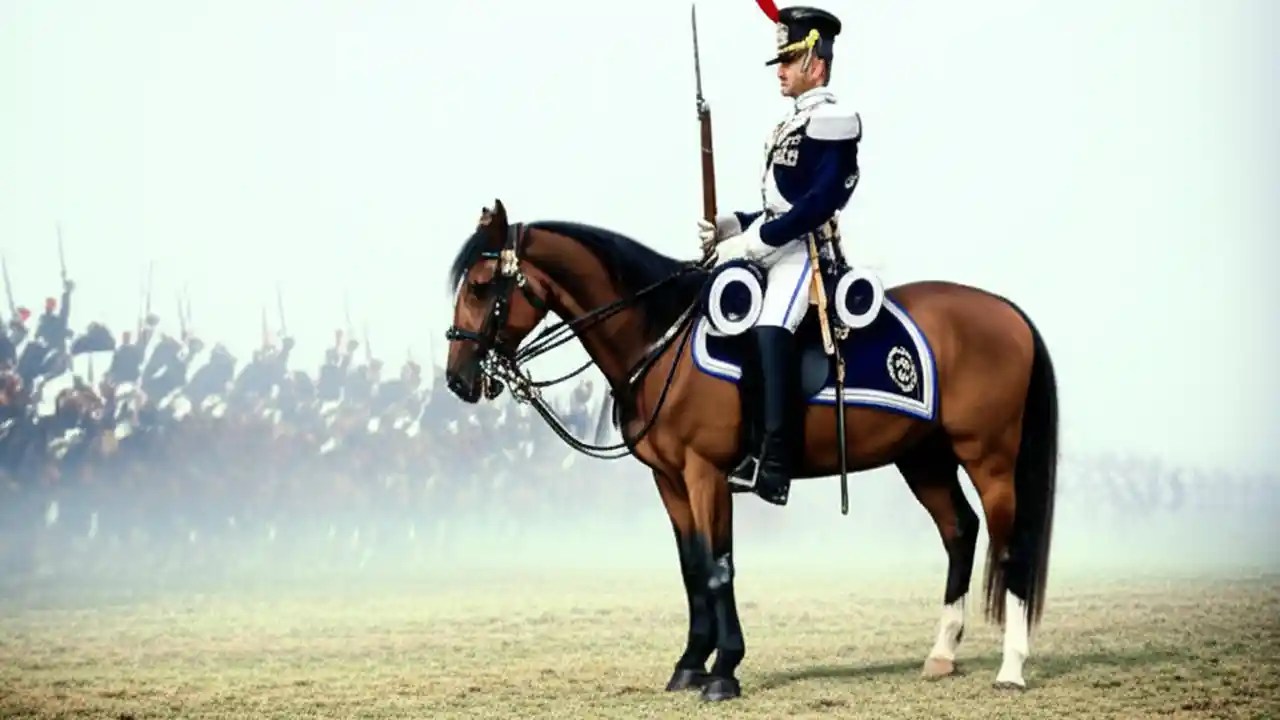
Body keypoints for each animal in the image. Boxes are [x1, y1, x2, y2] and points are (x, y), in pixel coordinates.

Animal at [444, 200, 1059, 703]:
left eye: (480, 286)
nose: (458, 379)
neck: (661, 336)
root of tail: (1007, 311)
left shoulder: (706, 474)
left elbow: (719, 567)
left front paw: (723, 671)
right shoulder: (670, 481)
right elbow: (692, 567)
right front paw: (690, 664)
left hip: (989, 458)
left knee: (1012, 547)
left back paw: (1011, 667)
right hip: (924, 458)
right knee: (960, 531)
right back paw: (942, 653)